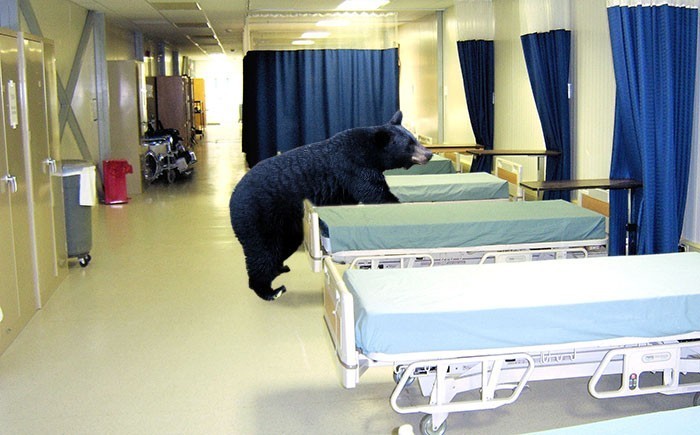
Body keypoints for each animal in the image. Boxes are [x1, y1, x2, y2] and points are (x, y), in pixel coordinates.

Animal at [229, 111, 432, 301]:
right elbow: (377, 195)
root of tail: (233, 197)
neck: (370, 152)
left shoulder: (346, 187)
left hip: (286, 226)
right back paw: (270, 290)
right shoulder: (355, 168)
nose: (429, 154)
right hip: (260, 216)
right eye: (409, 144)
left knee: (281, 248)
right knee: (263, 252)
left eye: (415, 139)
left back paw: (280, 268)